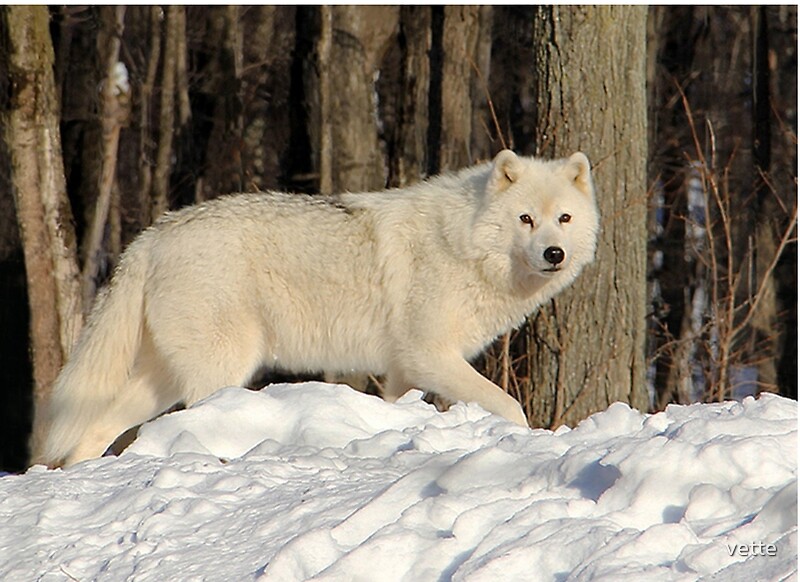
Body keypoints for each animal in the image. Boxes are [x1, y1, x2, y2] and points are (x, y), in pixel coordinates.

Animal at [35, 149, 599, 467]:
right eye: (526, 219)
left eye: (564, 219)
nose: (554, 254)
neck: (462, 244)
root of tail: (153, 234)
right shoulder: (430, 355)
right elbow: (510, 406)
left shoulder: (404, 369)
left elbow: (397, 407)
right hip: (221, 369)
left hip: (161, 379)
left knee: (98, 427)